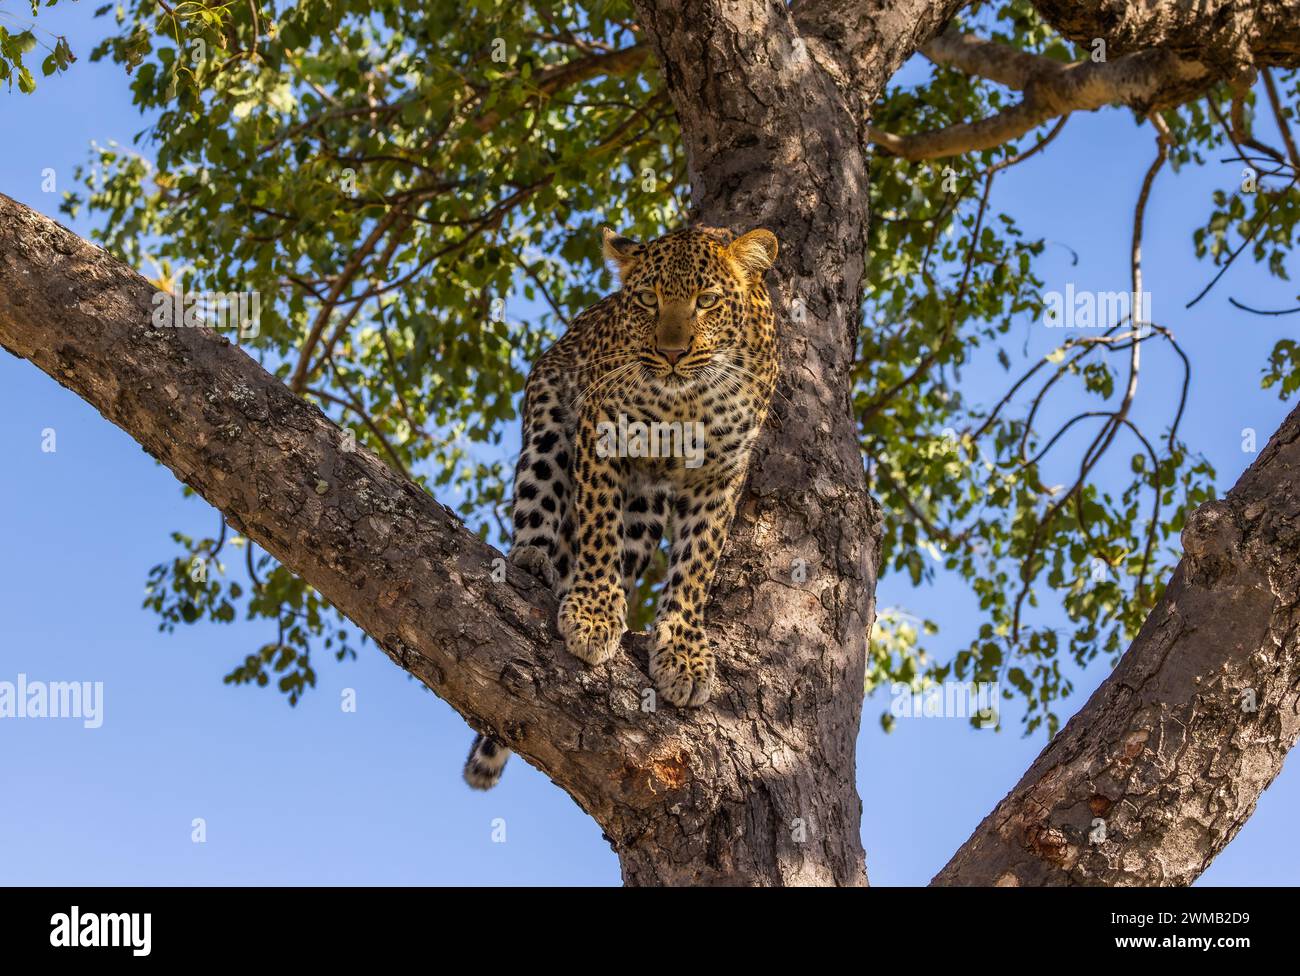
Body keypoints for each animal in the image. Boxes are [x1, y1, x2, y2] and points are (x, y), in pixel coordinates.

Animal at [463, 224, 779, 789]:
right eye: (649, 299)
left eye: (707, 301)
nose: (671, 353)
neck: (687, 400)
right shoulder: (601, 430)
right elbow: (597, 528)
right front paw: (592, 613)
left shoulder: (721, 473)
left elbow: (696, 566)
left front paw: (683, 653)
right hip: (548, 424)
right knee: (543, 505)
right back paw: (535, 562)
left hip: (647, 505)